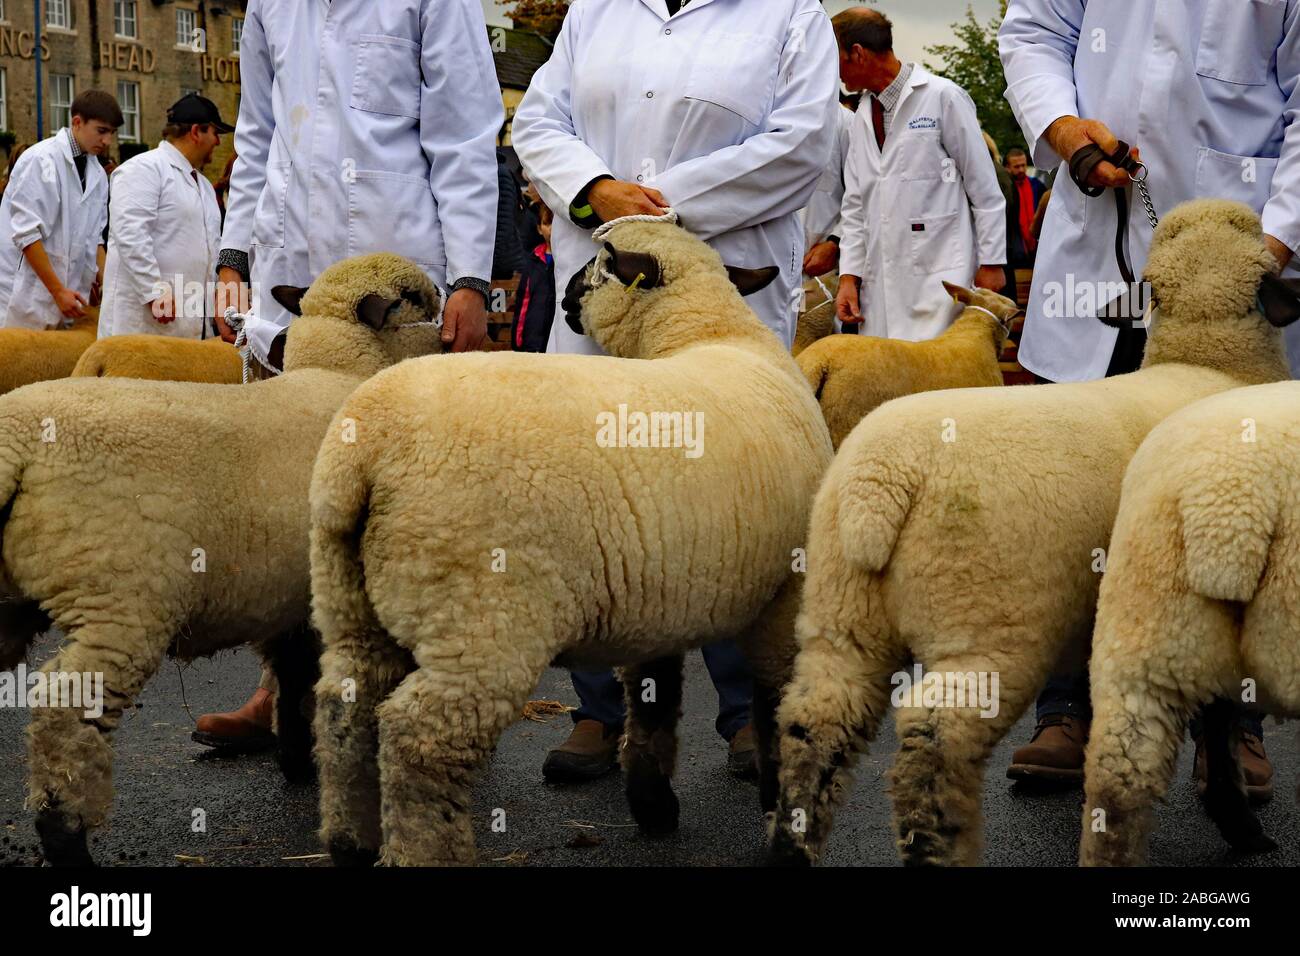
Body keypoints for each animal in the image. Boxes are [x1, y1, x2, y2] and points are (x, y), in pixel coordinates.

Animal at [309, 218, 833, 866]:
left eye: (594, 271)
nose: (561, 300)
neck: (709, 332)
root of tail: (365, 451)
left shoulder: (663, 592)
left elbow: (655, 700)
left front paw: (654, 805)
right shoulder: (784, 596)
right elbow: (777, 709)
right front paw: (788, 831)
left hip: (347, 597)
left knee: (343, 704)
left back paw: (348, 840)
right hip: (480, 616)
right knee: (417, 737)